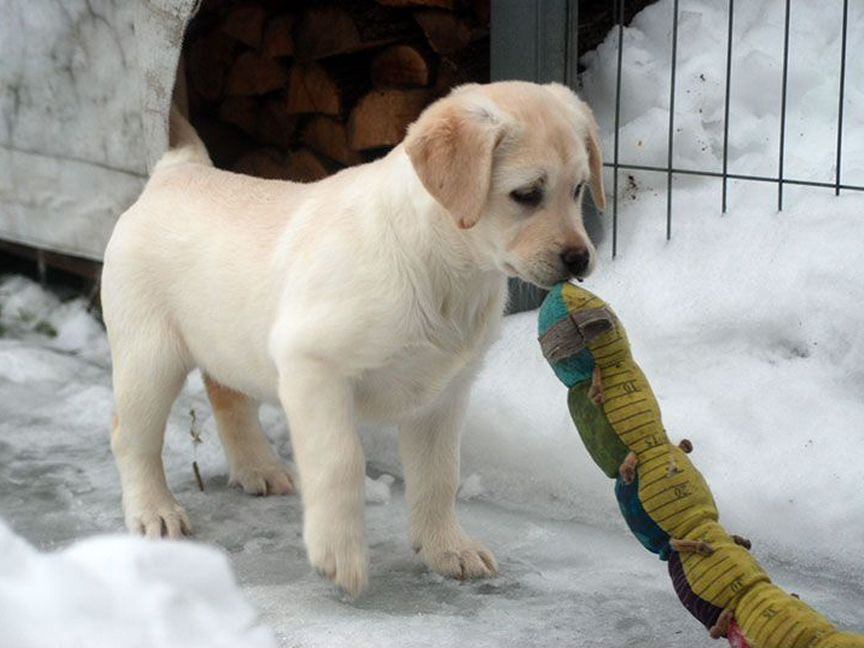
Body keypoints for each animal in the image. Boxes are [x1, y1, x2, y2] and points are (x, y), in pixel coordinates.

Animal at [101, 82, 604, 596]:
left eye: (578, 189)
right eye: (526, 194)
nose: (580, 259)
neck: (442, 267)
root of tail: (177, 171)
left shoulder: (444, 394)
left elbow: (440, 475)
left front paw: (447, 549)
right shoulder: (312, 366)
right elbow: (340, 461)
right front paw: (338, 554)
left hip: (227, 344)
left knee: (228, 397)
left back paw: (258, 468)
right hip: (149, 357)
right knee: (130, 436)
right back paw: (155, 512)